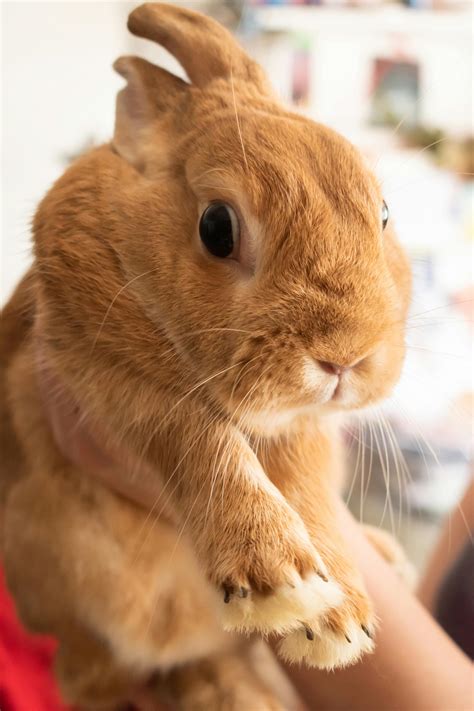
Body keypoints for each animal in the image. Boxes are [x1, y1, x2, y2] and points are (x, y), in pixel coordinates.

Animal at [0, 3, 412, 708]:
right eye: (217, 227)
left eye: (382, 213)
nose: (347, 358)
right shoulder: (105, 377)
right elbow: (197, 437)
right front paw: (282, 587)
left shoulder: (304, 430)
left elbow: (309, 488)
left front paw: (338, 620)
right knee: (91, 663)